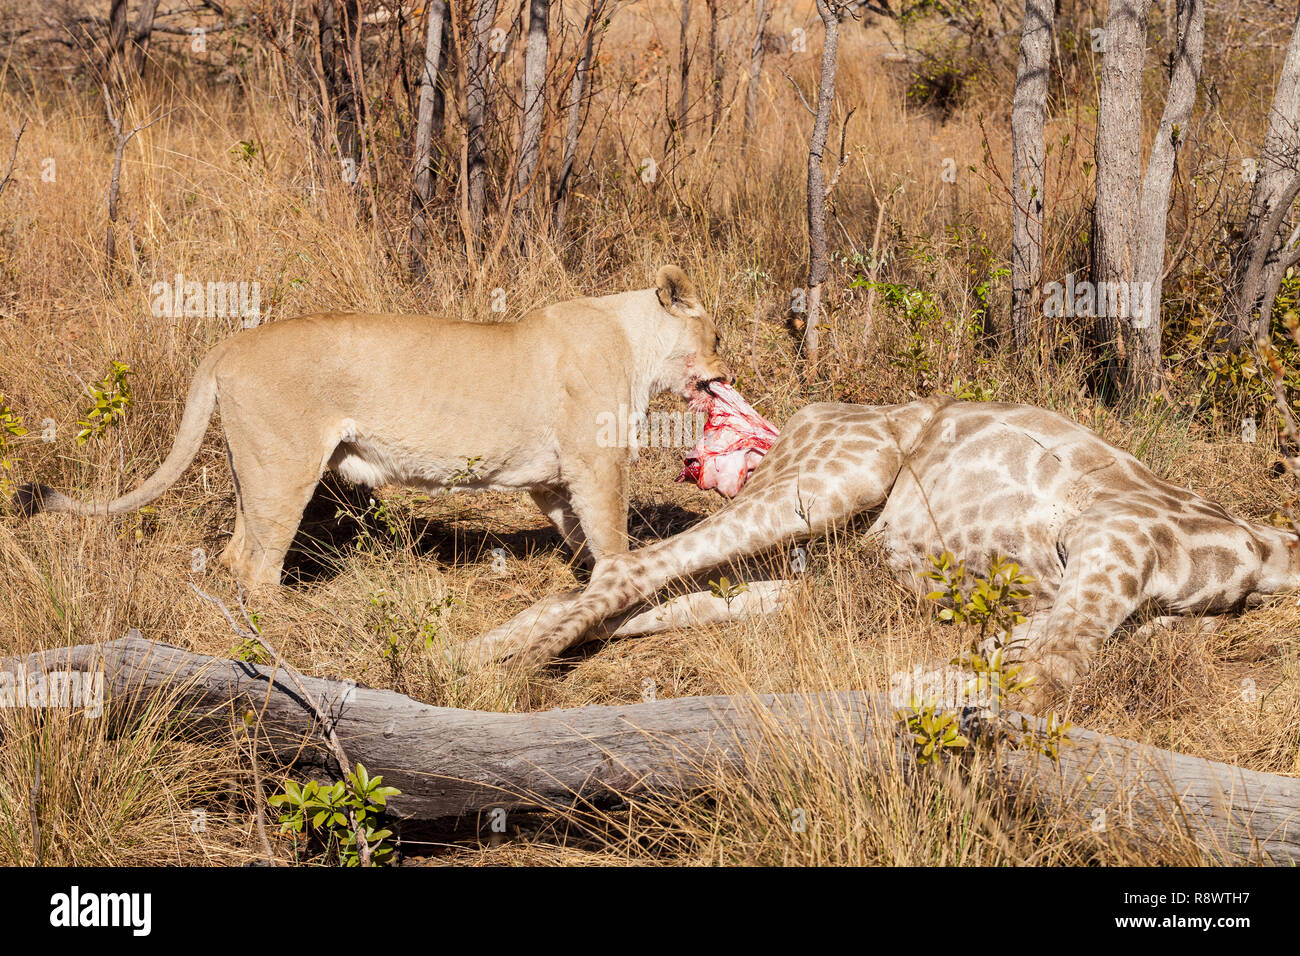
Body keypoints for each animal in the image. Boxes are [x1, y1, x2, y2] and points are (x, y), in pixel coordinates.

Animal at [464, 395, 1300, 708]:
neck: (1266, 552)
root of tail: (799, 421)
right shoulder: (1115, 542)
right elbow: (1054, 671)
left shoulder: (1116, 606)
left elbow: (1028, 658)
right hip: (838, 477)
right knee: (632, 566)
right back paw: (510, 672)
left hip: (804, 575)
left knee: (639, 590)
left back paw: (478, 652)